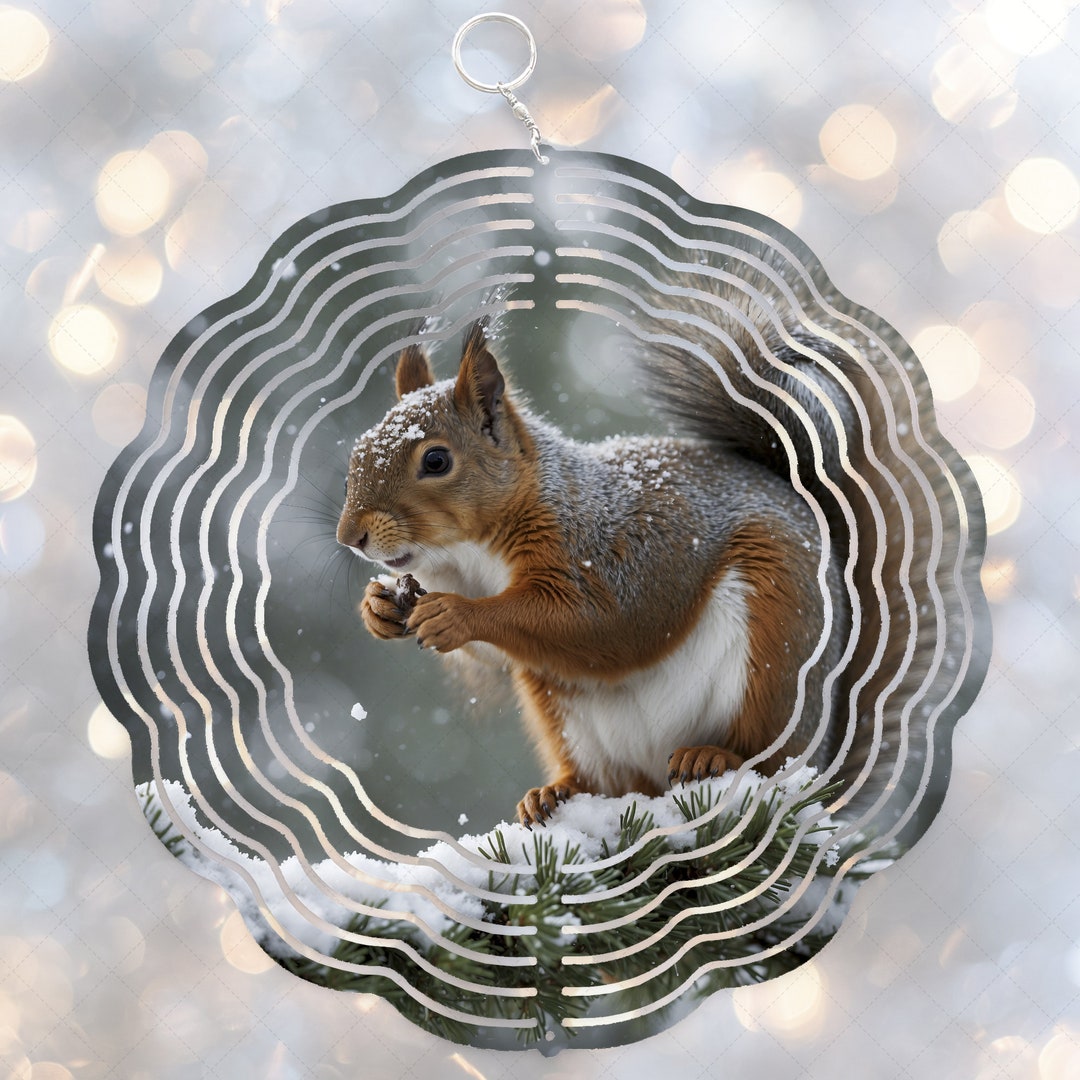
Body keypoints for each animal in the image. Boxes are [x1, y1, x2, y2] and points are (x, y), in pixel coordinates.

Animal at [336, 269, 966, 830]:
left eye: (436, 460)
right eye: (355, 458)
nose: (350, 536)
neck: (472, 556)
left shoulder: (610, 553)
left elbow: (598, 622)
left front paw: (458, 615)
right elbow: (497, 654)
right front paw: (377, 609)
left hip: (777, 643)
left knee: (771, 758)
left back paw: (716, 756)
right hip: (561, 714)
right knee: (608, 782)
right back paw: (556, 794)